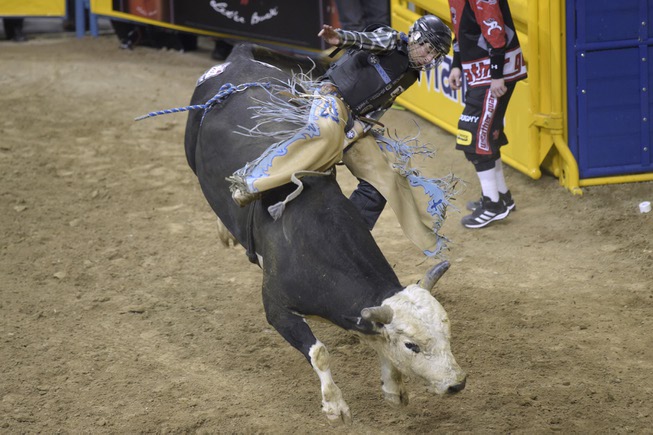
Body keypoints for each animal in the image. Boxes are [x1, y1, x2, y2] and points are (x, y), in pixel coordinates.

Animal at [183, 43, 466, 423]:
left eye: (447, 330)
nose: (456, 383)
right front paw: (335, 406)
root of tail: (238, 58)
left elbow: (375, 340)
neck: (312, 241)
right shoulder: (276, 308)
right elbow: (318, 352)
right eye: (412, 345)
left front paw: (393, 387)